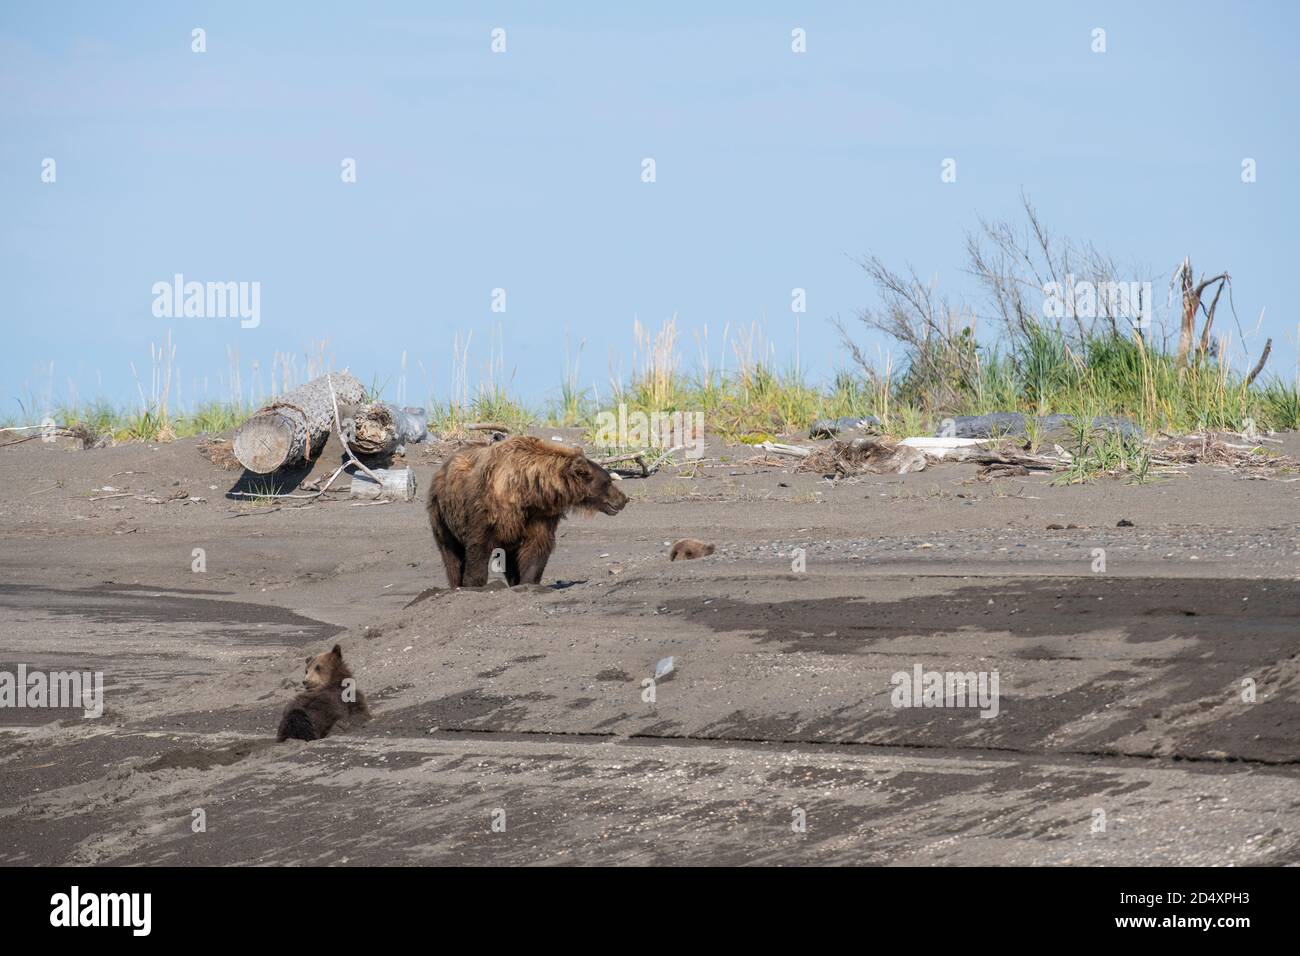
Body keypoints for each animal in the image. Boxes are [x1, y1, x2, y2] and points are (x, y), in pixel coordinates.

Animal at [427, 435, 628, 588]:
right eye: (608, 482)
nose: (624, 499)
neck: (529, 489)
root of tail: (441, 469)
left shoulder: (539, 516)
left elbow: (537, 547)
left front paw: (527, 582)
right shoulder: (488, 509)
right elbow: (478, 546)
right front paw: (473, 583)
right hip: (442, 513)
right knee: (450, 552)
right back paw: (456, 583)